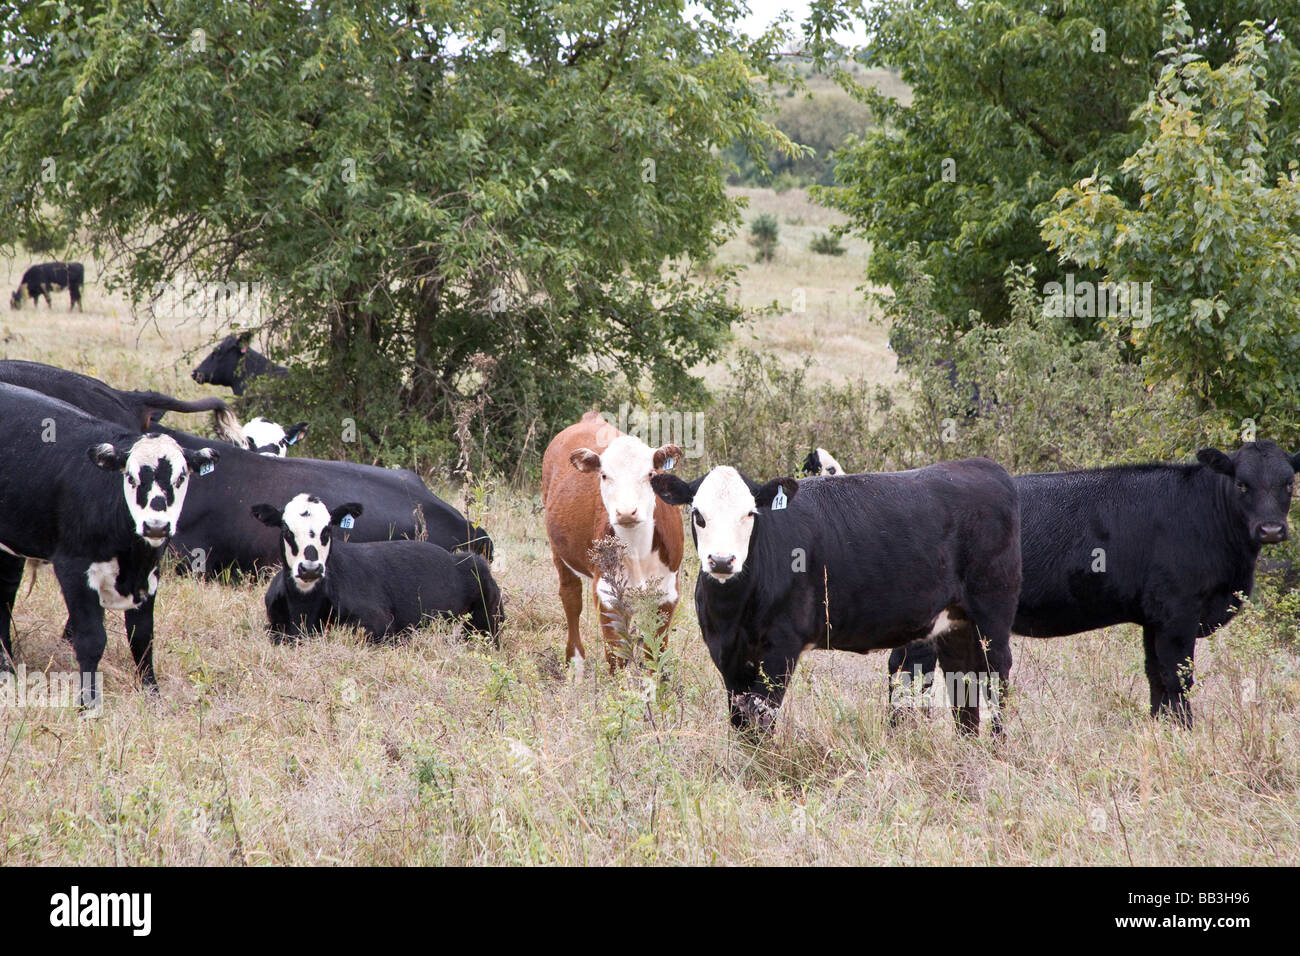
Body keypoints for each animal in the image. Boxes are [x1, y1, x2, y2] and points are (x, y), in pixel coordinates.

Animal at [0, 383, 219, 708]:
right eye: (131, 476)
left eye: (180, 477)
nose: (156, 526)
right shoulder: (74, 568)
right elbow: (92, 639)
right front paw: (88, 702)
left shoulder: (149, 575)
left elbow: (142, 637)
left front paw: (152, 693)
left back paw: (7, 668)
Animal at [541, 411, 684, 674]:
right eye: (604, 475)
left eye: (650, 474)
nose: (626, 512)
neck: (637, 549)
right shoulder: (606, 593)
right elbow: (616, 656)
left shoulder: (668, 591)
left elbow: (655, 654)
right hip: (559, 551)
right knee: (571, 598)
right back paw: (575, 664)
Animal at [651, 459, 1021, 735]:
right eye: (698, 515)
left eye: (750, 514)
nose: (722, 560)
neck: (734, 608)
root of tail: (984, 467)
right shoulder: (727, 655)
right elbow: (741, 722)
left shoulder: (781, 649)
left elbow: (762, 721)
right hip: (956, 624)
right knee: (964, 680)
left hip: (993, 613)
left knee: (997, 675)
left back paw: (996, 746)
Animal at [887, 441, 1300, 726]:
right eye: (1242, 484)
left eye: (1288, 483)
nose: (1271, 529)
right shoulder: (1178, 613)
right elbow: (1177, 678)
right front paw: (1185, 732)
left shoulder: (1153, 619)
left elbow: (1155, 677)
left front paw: (1161, 730)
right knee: (908, 668)